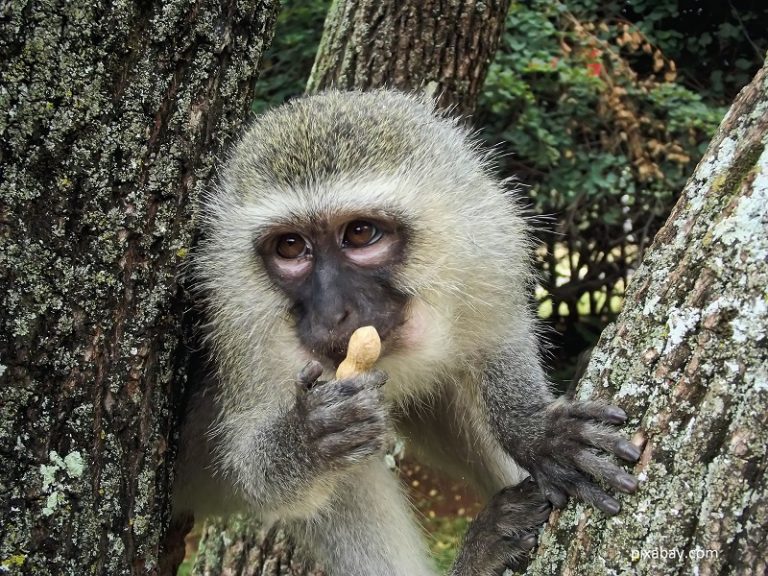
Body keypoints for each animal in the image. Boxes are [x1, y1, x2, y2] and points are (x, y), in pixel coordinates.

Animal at [173, 89, 640, 576]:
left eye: (361, 233)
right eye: (290, 246)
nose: (331, 313)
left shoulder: (483, 250)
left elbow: (497, 337)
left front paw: (531, 429)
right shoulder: (241, 330)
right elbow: (253, 469)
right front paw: (306, 438)